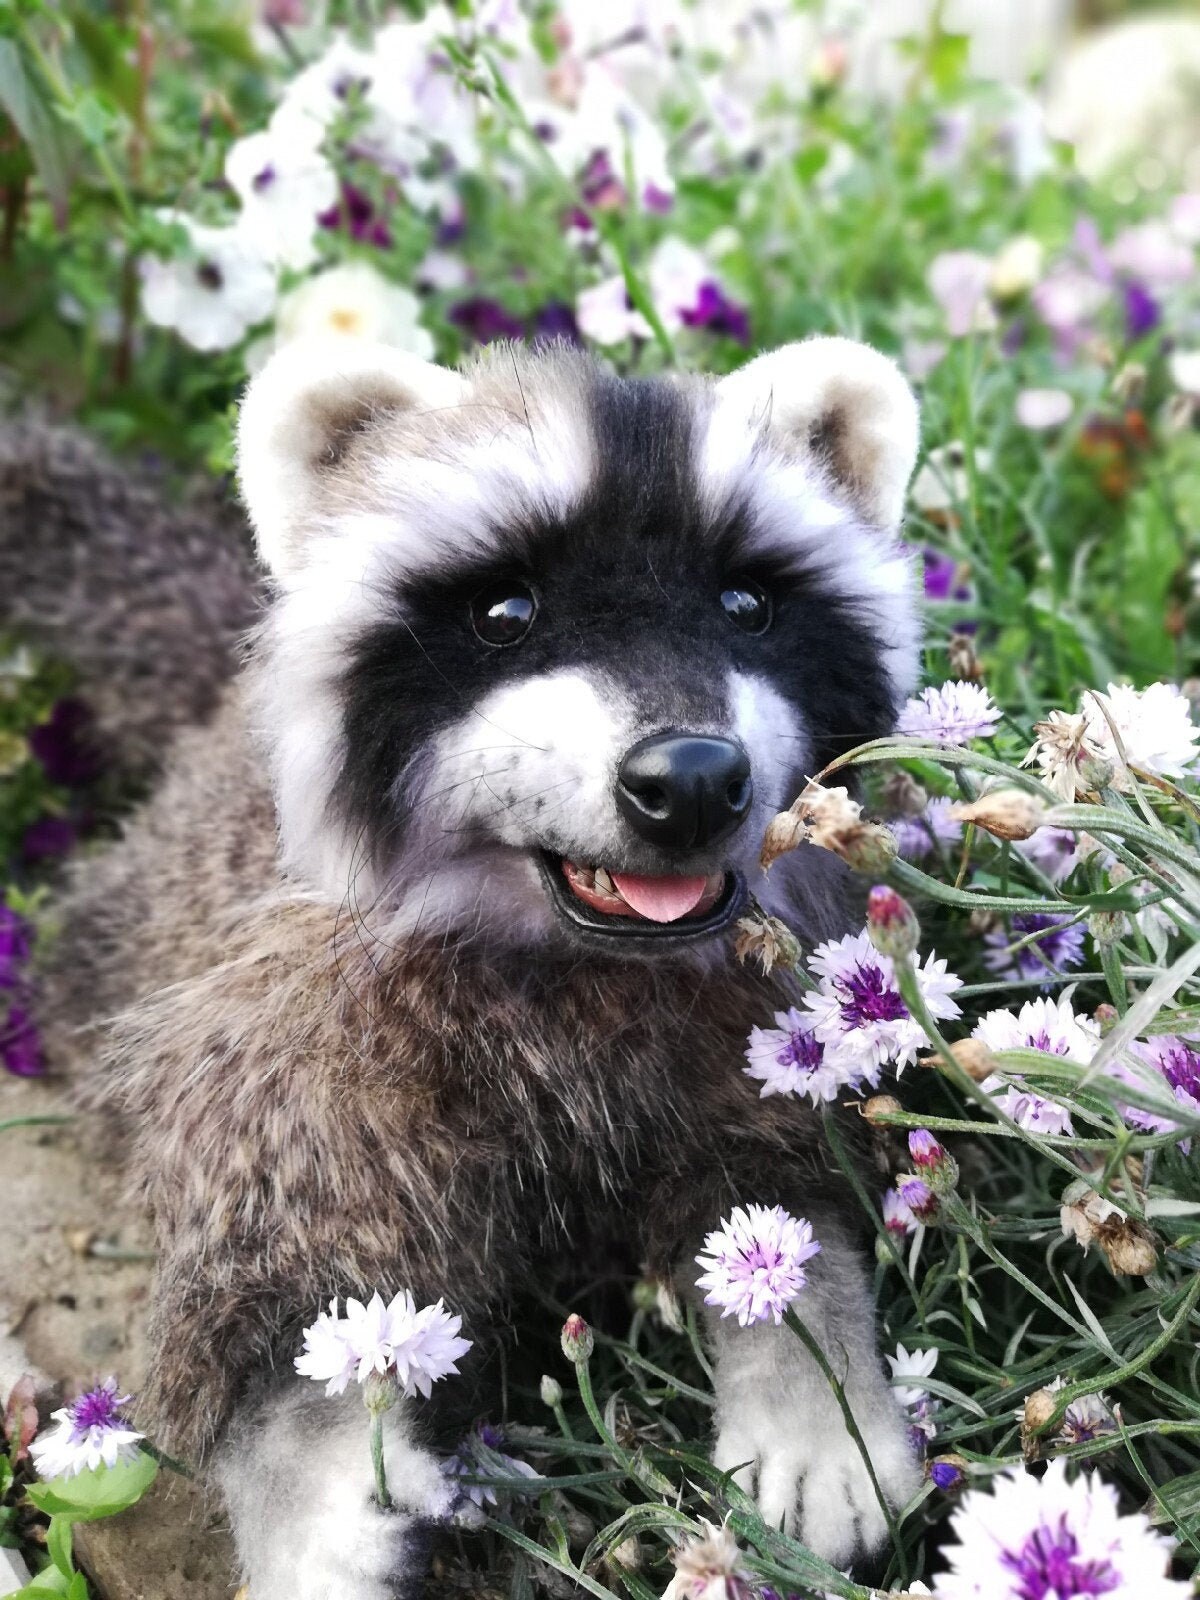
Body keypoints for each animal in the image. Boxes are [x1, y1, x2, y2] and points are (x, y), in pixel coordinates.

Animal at [42, 334, 923, 1599]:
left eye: (748, 604)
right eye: (506, 610)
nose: (694, 778)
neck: (580, 957)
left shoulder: (764, 1007)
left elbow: (780, 1189)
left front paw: (812, 1370)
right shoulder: (282, 1031)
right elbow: (273, 1272)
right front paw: (308, 1460)